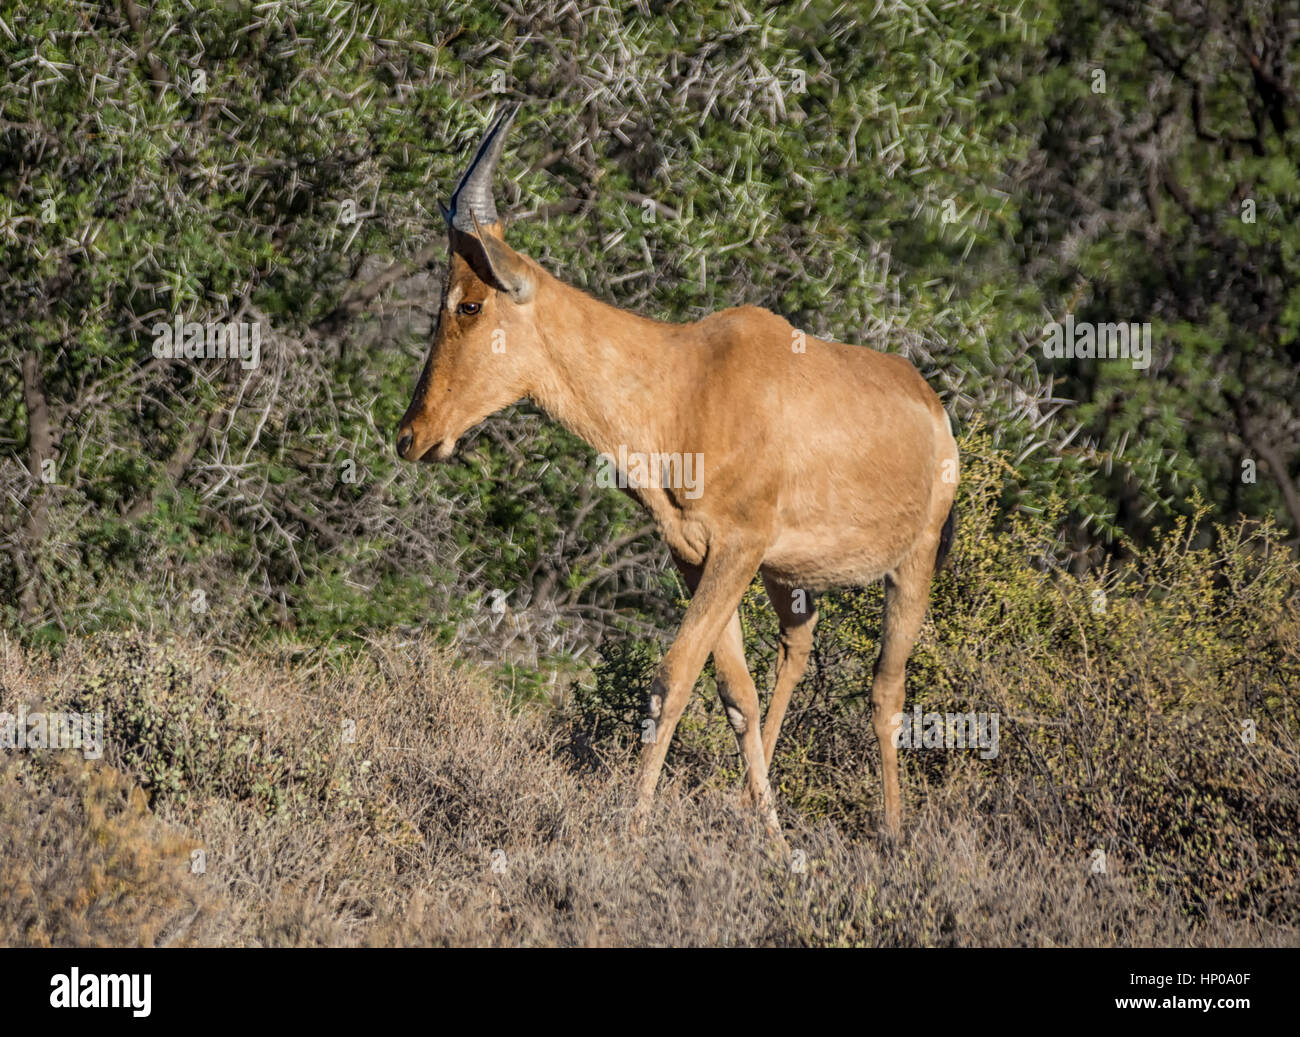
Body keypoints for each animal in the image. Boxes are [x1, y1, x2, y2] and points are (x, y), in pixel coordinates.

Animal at [396, 105, 959, 835]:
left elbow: (672, 677)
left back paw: (891, 830)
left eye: (469, 303)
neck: (689, 379)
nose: (411, 436)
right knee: (797, 648)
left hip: (911, 563)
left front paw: (631, 834)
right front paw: (770, 836)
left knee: (886, 689)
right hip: (787, 575)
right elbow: (731, 689)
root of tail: (932, 405)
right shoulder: (695, 555)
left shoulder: (736, 550)